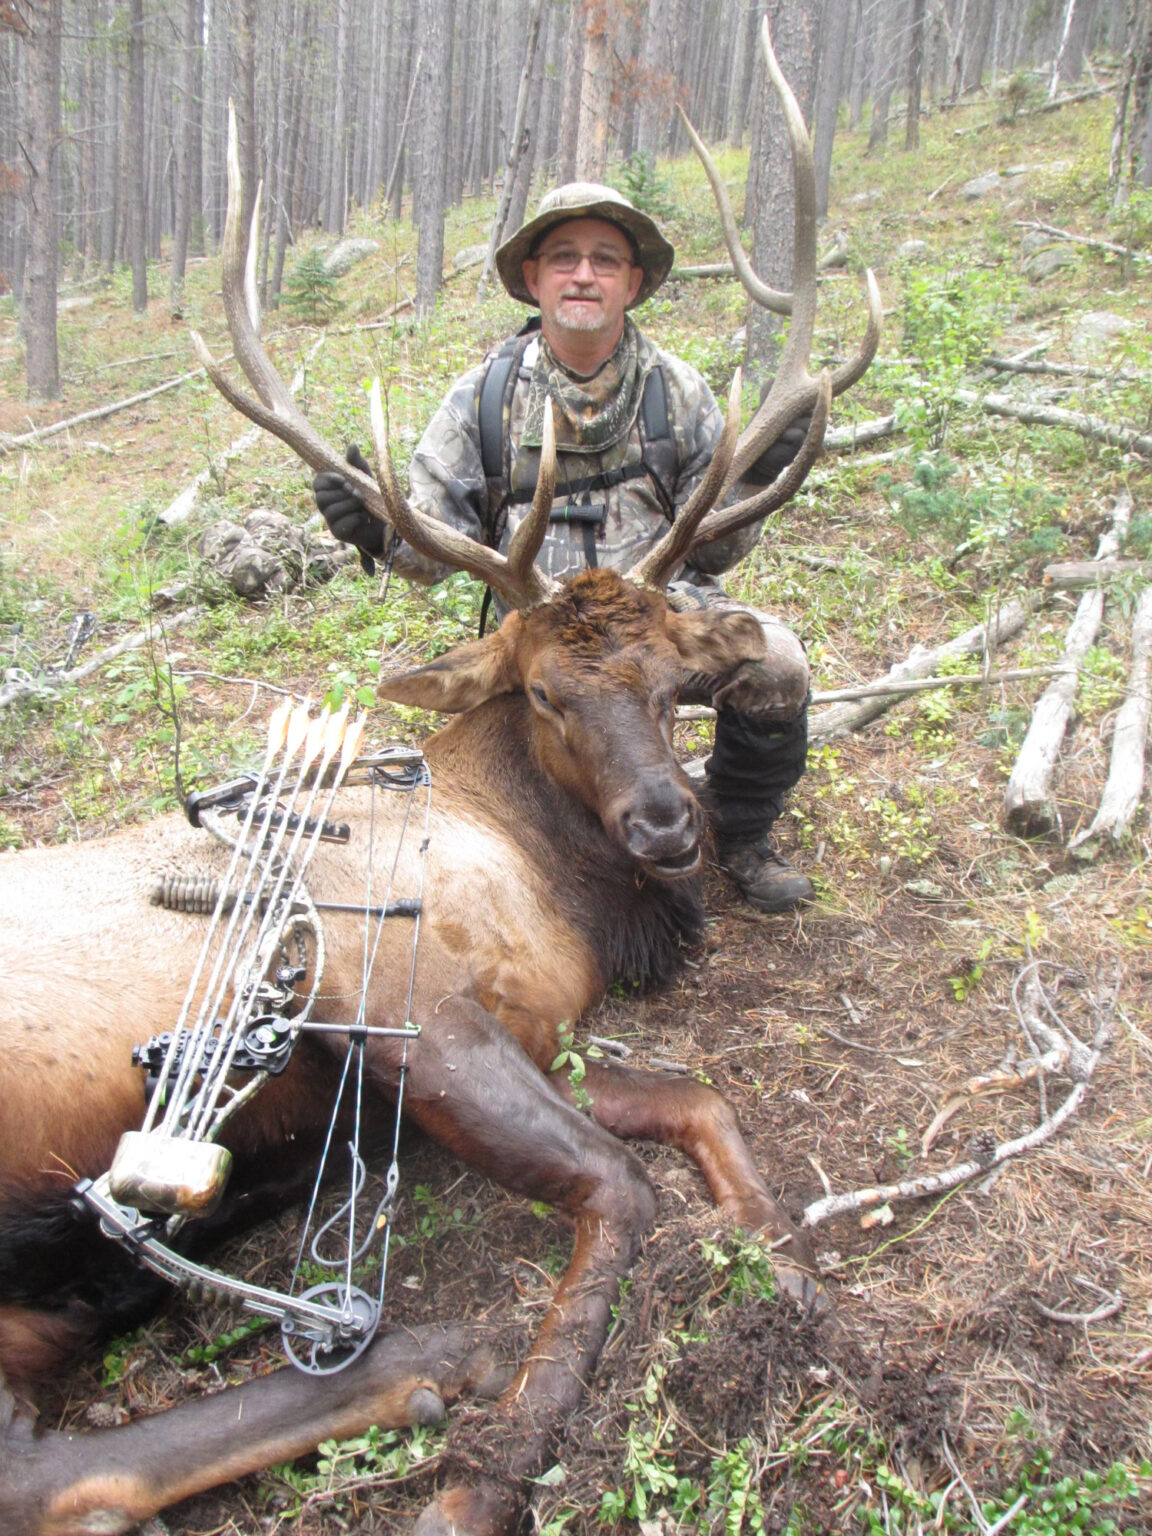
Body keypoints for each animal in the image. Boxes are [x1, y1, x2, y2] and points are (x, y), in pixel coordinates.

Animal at [0, 21, 879, 1536]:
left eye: (672, 681)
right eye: (545, 694)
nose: (669, 826)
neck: (544, 875)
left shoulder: (538, 1033)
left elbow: (698, 1104)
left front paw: (789, 1266)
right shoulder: (407, 1015)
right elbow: (621, 1193)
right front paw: (504, 1459)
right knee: (40, 1463)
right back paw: (431, 1363)